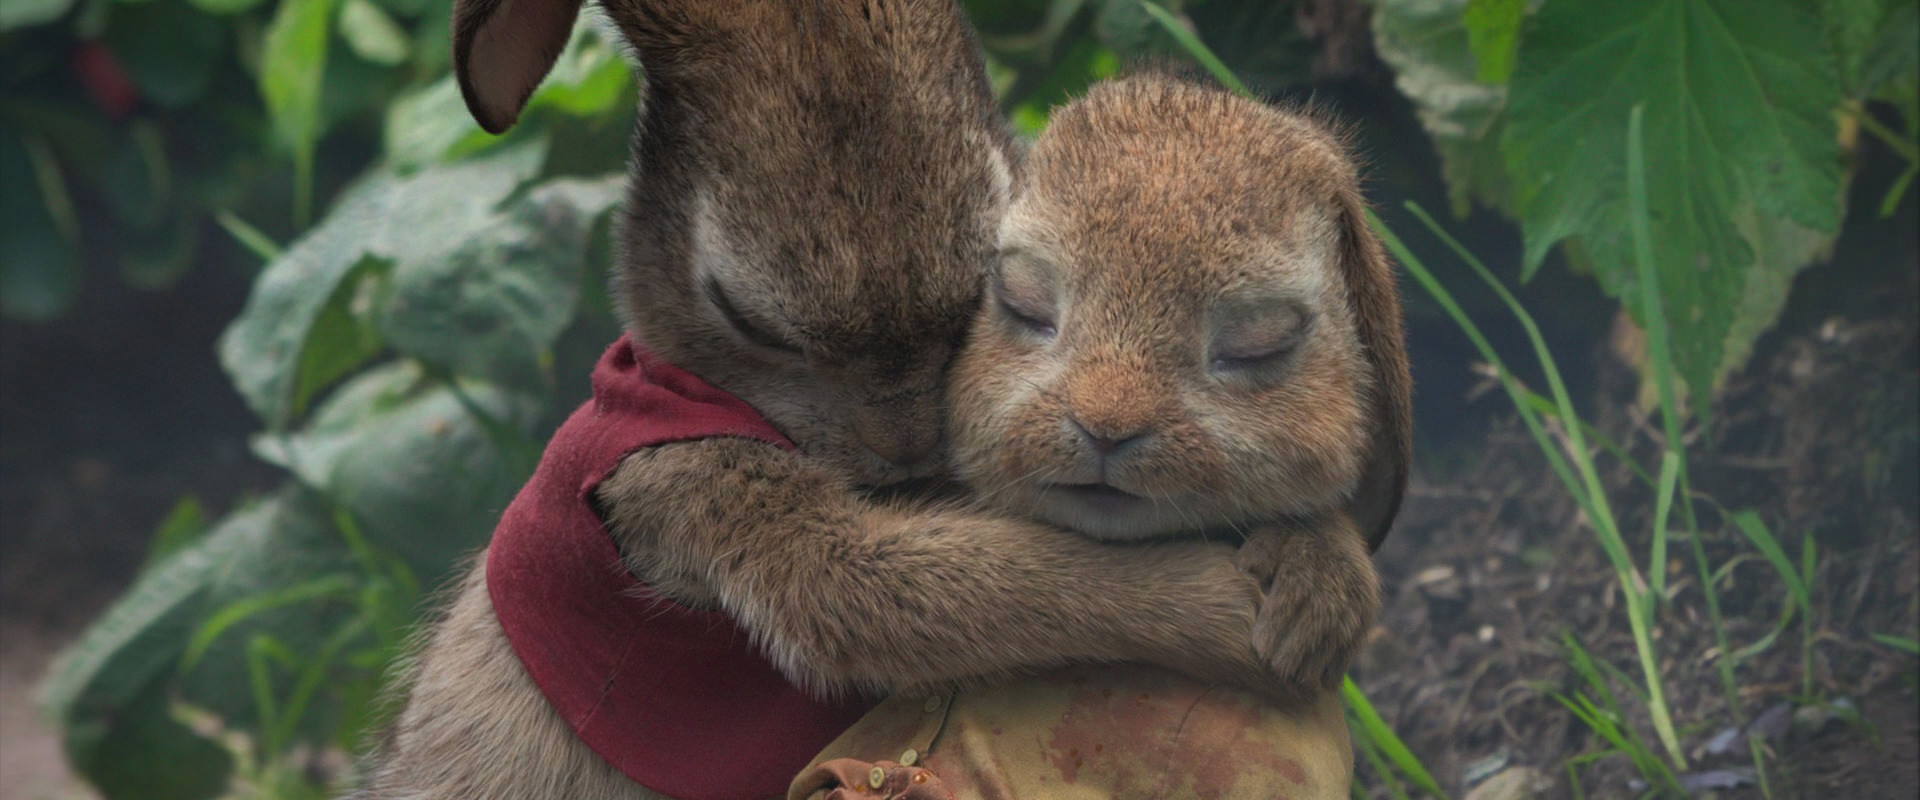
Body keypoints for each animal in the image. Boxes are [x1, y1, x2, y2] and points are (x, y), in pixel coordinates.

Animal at [355, 3, 1277, 799]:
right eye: (742, 314)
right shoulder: (690, 482)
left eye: (991, 280)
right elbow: (930, 585)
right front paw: (1240, 607)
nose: (905, 447)